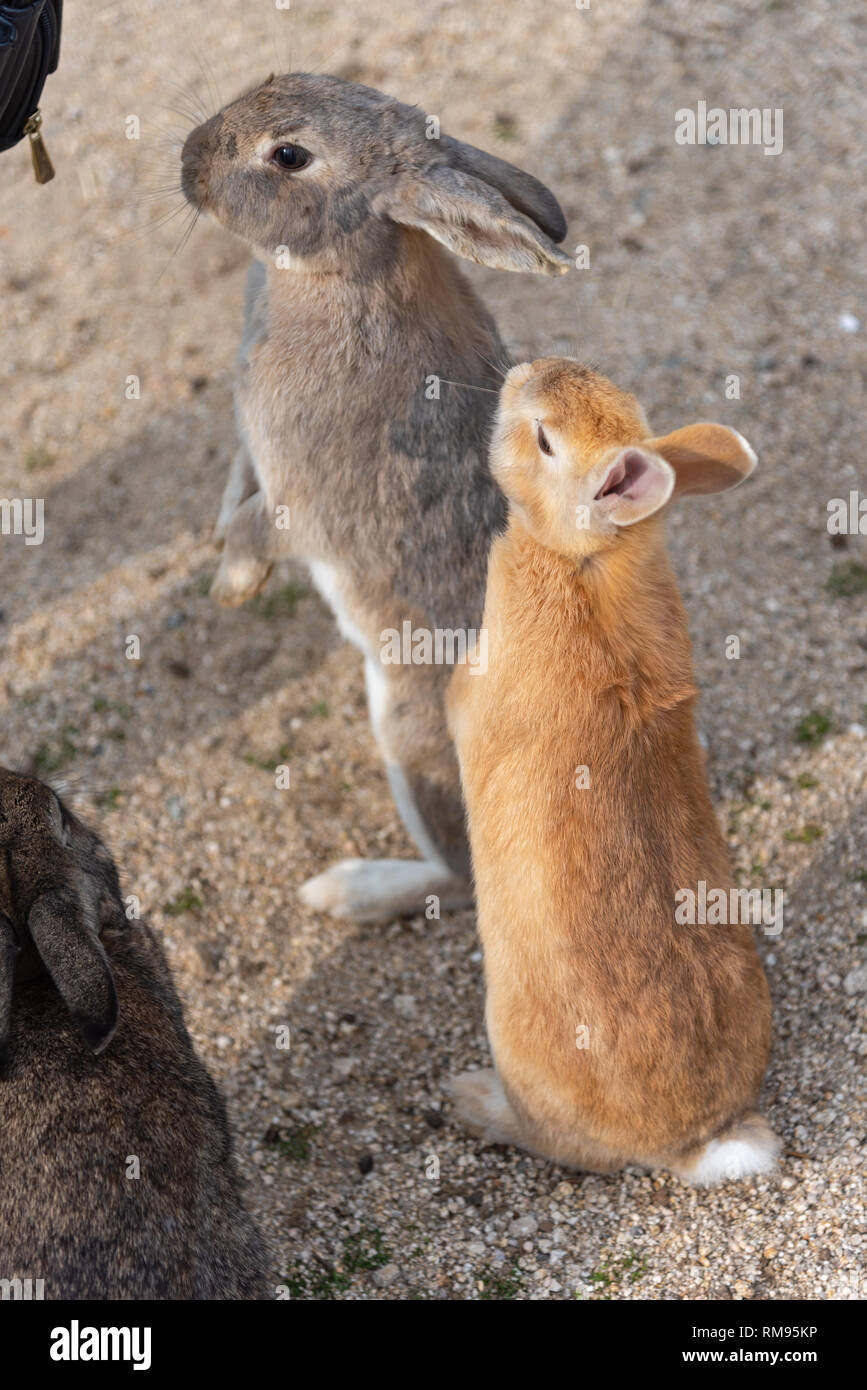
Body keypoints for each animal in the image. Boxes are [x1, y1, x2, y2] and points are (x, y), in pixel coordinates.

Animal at [180, 72, 572, 923]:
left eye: (289, 156)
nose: (189, 160)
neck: (331, 277)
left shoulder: (303, 499)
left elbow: (259, 529)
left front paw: (231, 586)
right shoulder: (253, 450)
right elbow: (235, 490)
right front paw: (219, 548)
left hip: (407, 732)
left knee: (459, 877)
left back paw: (347, 891)